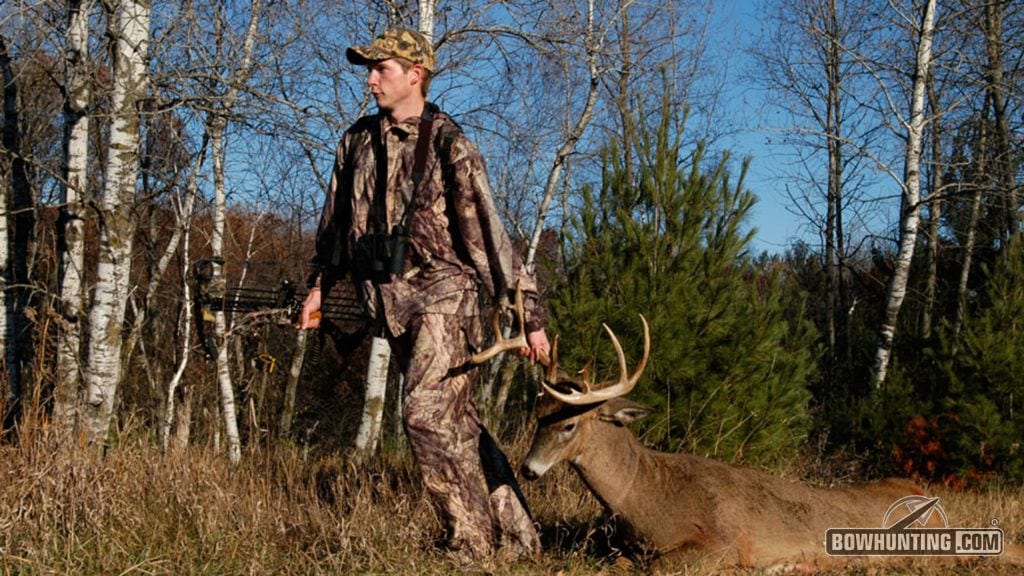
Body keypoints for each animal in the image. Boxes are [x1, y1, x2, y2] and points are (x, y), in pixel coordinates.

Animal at [472, 299, 1022, 570]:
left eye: (567, 423)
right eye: (536, 414)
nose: (528, 470)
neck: (645, 500)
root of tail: (919, 489)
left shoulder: (722, 541)